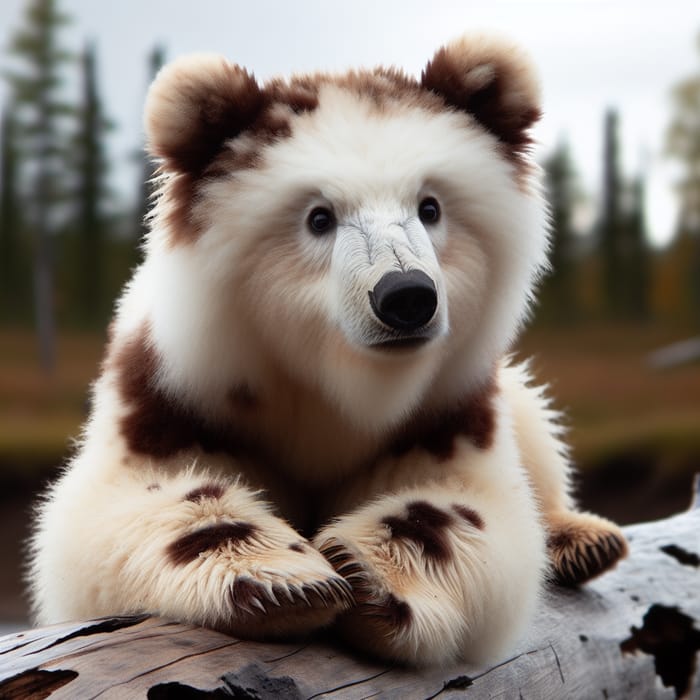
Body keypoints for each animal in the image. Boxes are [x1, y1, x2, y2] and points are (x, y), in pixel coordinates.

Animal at [28, 34, 628, 667]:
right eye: (319, 216)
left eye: (430, 206)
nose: (406, 296)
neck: (335, 380)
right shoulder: (177, 395)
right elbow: (116, 507)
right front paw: (287, 582)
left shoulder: (445, 409)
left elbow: (474, 505)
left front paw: (367, 575)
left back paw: (582, 538)